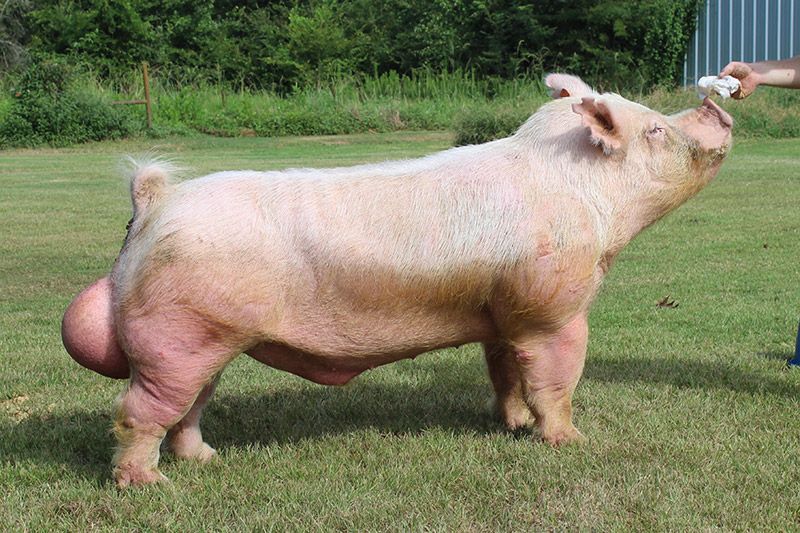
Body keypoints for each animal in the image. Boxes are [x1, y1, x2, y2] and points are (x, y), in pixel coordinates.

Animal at [61, 74, 732, 487]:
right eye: (655, 130)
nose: (716, 105)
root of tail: (155, 203)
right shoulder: (552, 308)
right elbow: (555, 379)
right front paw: (573, 442)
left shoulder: (501, 313)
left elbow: (506, 374)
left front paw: (513, 427)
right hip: (177, 334)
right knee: (138, 410)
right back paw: (149, 484)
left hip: (205, 340)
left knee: (190, 406)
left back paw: (205, 458)